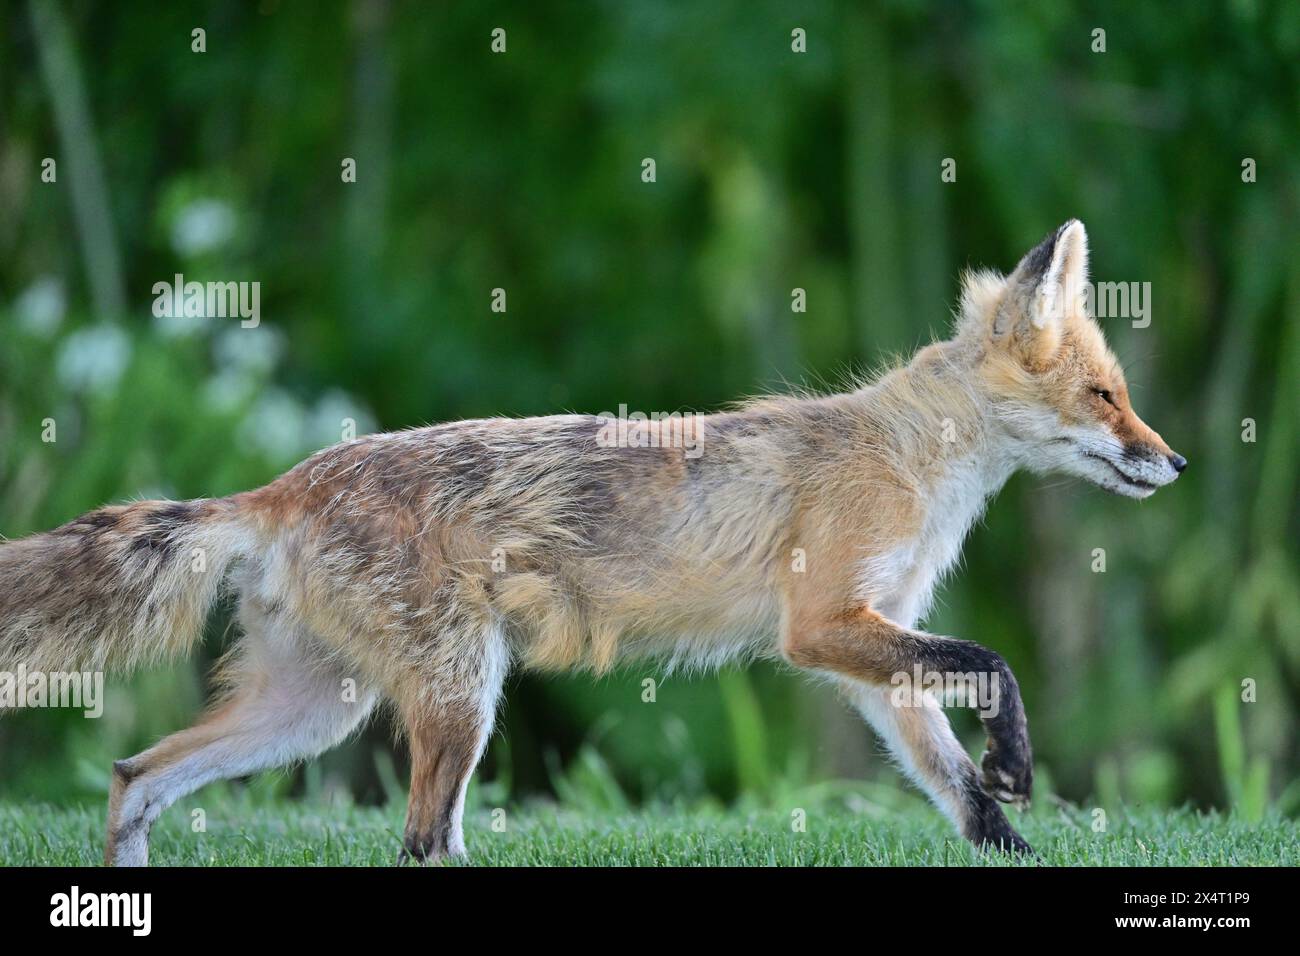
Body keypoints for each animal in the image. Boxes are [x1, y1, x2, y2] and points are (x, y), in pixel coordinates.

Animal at [0, 220, 1184, 866]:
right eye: (1105, 396)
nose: (1173, 463)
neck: (910, 457)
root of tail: (284, 483)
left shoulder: (869, 649)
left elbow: (966, 797)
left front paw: (1011, 813)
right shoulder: (823, 626)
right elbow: (994, 664)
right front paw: (1018, 752)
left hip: (312, 711)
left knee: (137, 772)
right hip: (457, 696)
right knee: (420, 839)